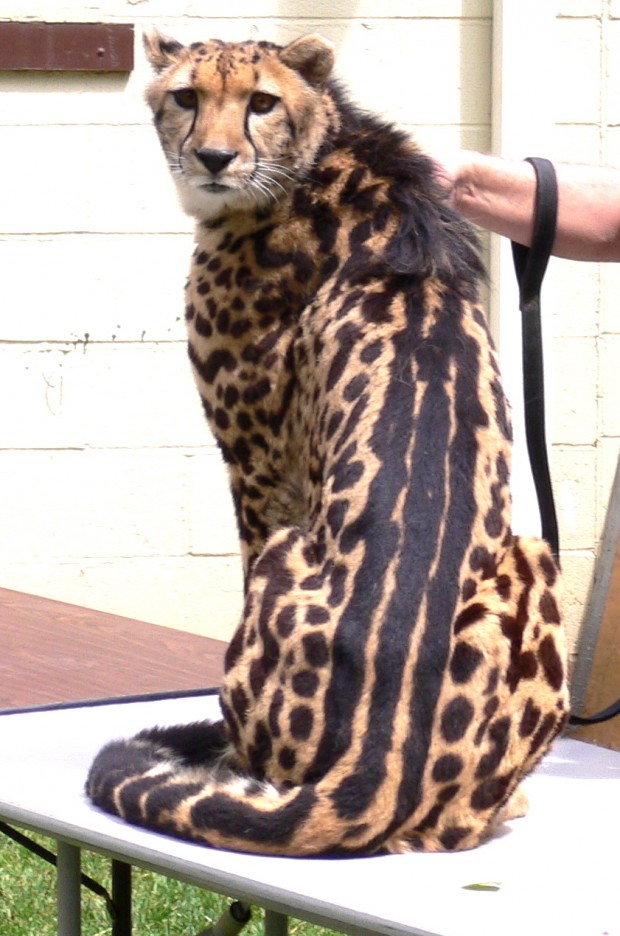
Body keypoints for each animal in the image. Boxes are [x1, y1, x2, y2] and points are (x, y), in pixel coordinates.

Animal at [86, 30, 569, 857]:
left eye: (261, 101)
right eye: (186, 96)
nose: (213, 157)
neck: (318, 154)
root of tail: (370, 770)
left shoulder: (254, 466)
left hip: (294, 550)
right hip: (534, 553)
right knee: (461, 823)